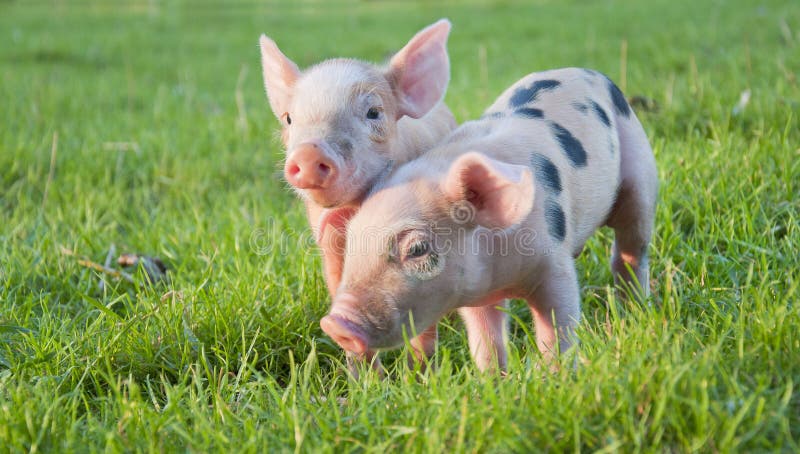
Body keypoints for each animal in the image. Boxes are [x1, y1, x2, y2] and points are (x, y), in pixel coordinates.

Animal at [259, 20, 457, 370]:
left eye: (374, 112)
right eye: (289, 118)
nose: (309, 152)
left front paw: (419, 372)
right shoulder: (327, 242)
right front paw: (364, 374)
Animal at [319, 68, 658, 372]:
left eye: (417, 250)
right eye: (351, 244)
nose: (335, 324)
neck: (503, 276)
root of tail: (593, 73)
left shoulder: (554, 263)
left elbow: (557, 327)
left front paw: (558, 378)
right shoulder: (474, 290)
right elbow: (486, 340)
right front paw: (493, 381)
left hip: (640, 174)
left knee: (631, 249)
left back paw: (635, 309)